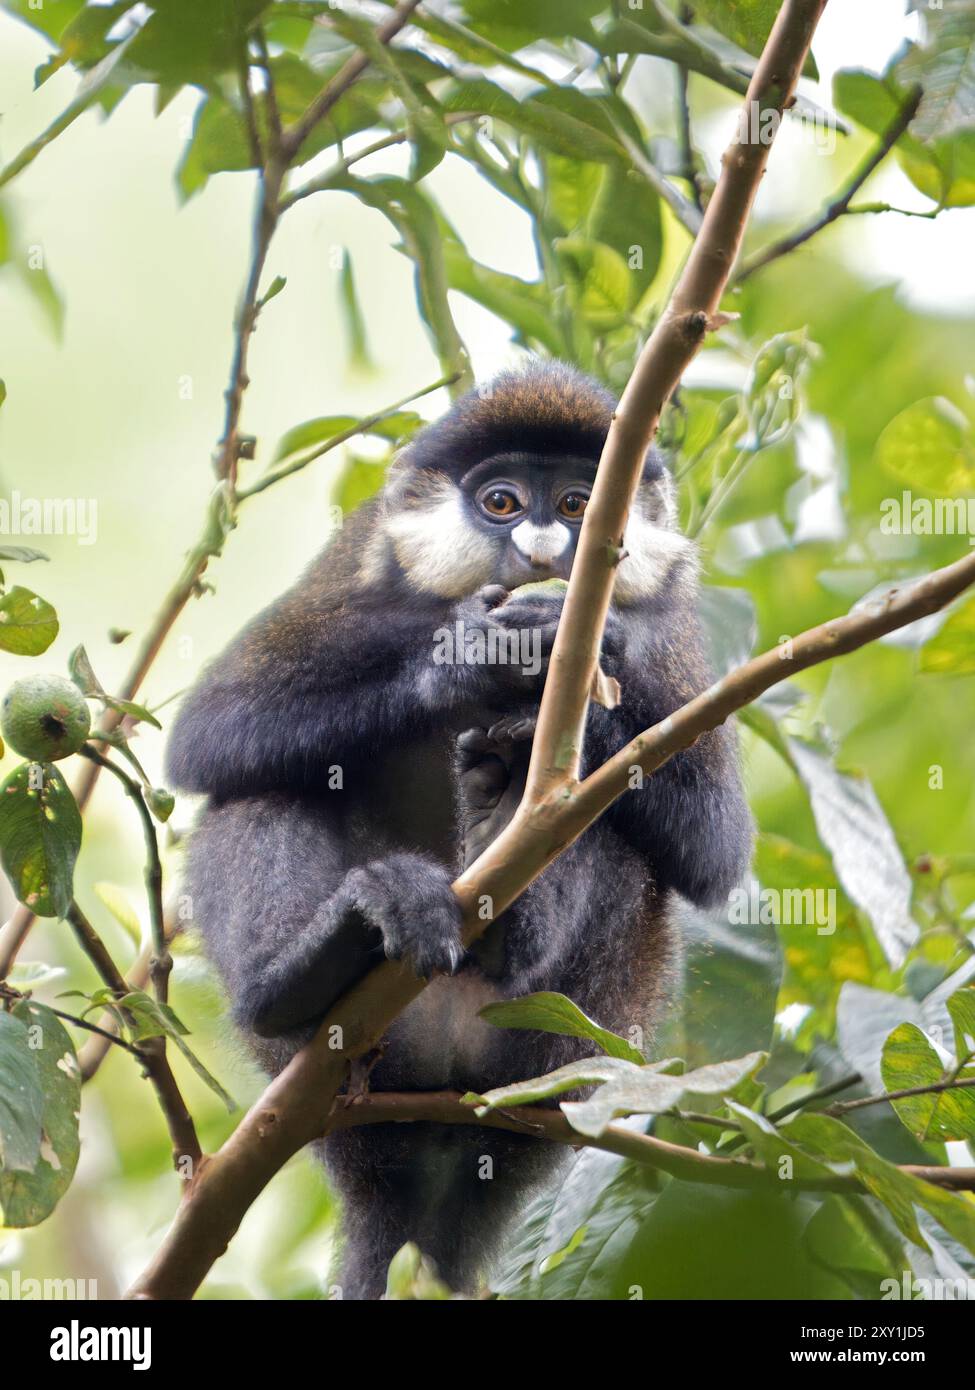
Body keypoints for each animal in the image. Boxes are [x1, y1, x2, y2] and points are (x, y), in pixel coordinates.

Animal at [165, 360, 752, 1299]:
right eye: (502, 503)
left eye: (580, 503)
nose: (545, 552)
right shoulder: (360, 554)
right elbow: (210, 730)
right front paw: (469, 658)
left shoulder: (672, 631)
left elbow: (712, 847)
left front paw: (566, 672)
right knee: (257, 791)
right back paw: (303, 970)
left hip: (569, 1047)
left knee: (597, 823)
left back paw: (507, 853)